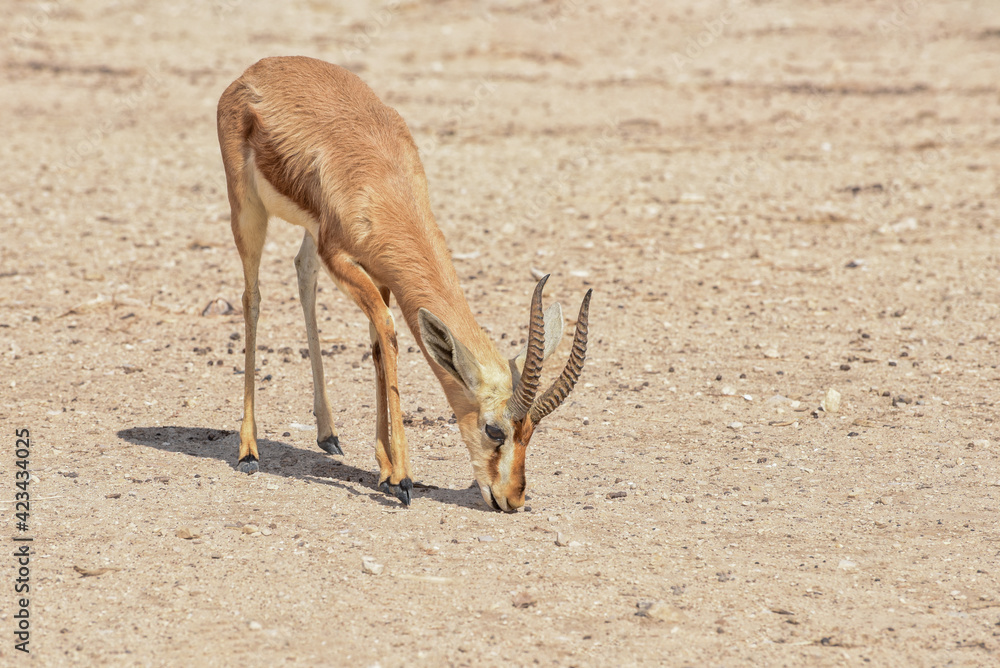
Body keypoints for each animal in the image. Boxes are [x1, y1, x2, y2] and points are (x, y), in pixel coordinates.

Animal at [216, 56, 591, 511]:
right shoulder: (341, 259)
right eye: (494, 429)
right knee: (252, 298)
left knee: (303, 273)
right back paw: (249, 452)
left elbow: (379, 345)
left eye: (531, 431)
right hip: (248, 211)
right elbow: (388, 331)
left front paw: (384, 470)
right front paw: (403, 479)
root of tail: (256, 70)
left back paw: (328, 435)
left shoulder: (380, 272)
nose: (513, 498)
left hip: (308, 232)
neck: (383, 184)